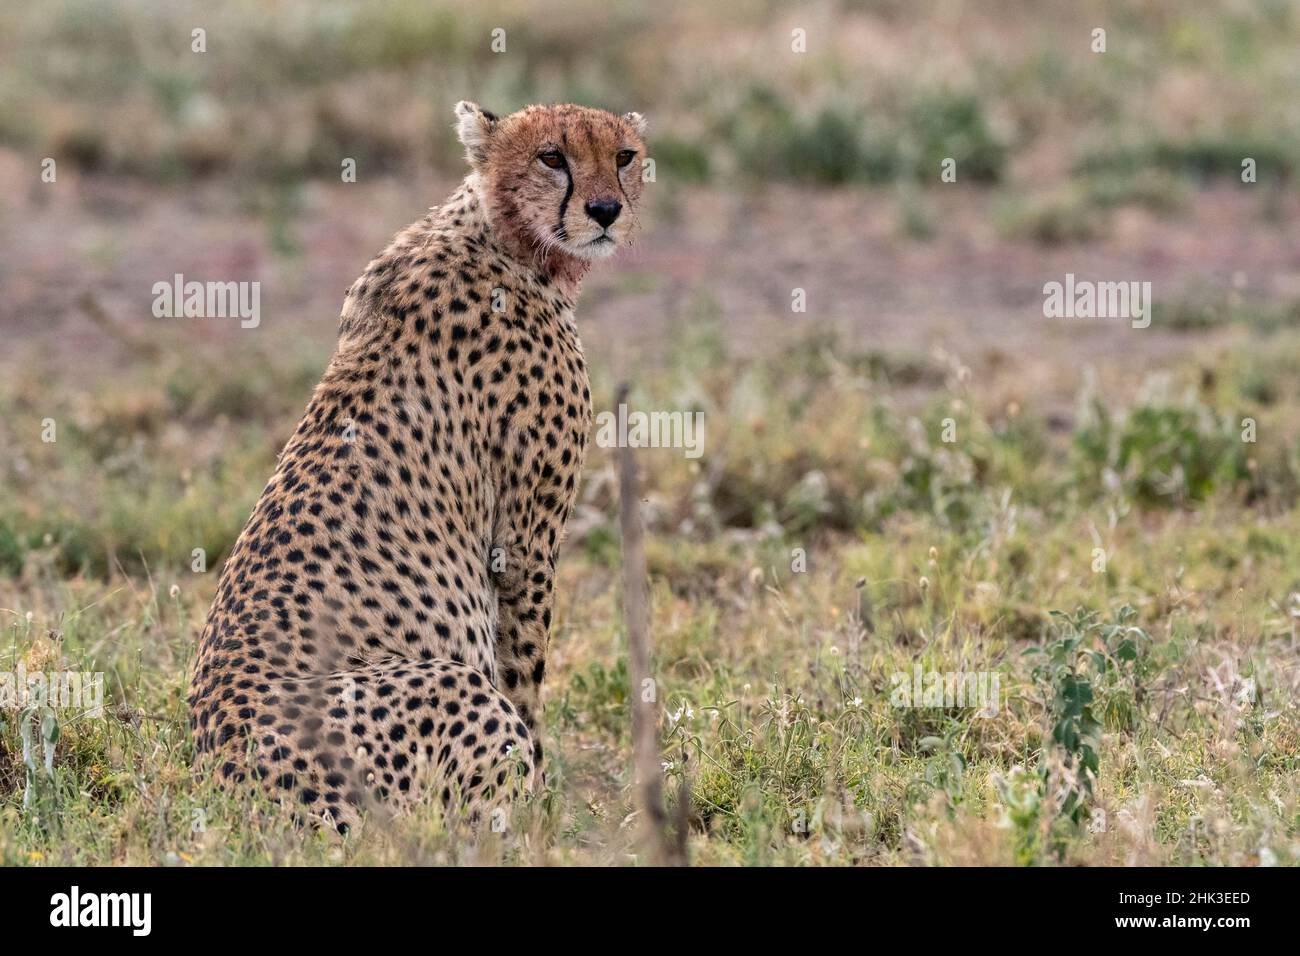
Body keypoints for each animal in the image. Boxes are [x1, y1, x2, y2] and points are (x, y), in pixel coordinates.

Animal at [187, 101, 648, 834]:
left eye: (625, 156)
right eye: (552, 157)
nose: (605, 210)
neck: (498, 234)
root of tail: (230, 790)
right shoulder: (524, 539)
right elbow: (525, 672)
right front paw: (552, 808)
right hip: (443, 684)